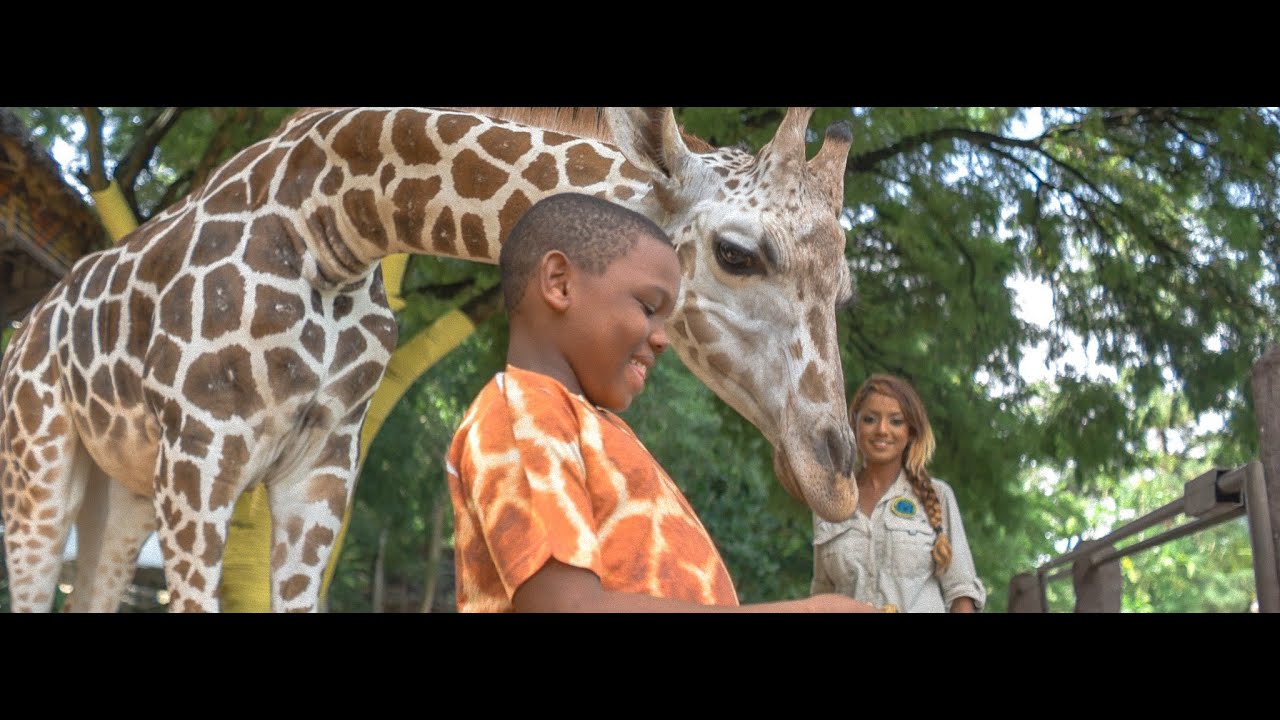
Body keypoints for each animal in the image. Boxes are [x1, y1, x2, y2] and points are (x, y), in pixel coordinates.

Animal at [0, 106, 859, 612]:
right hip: (41, 468)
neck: (337, 221)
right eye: (737, 254)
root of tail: (27, 327)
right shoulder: (203, 450)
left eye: (846, 289)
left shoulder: (322, 465)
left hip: (121, 489)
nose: (837, 474)